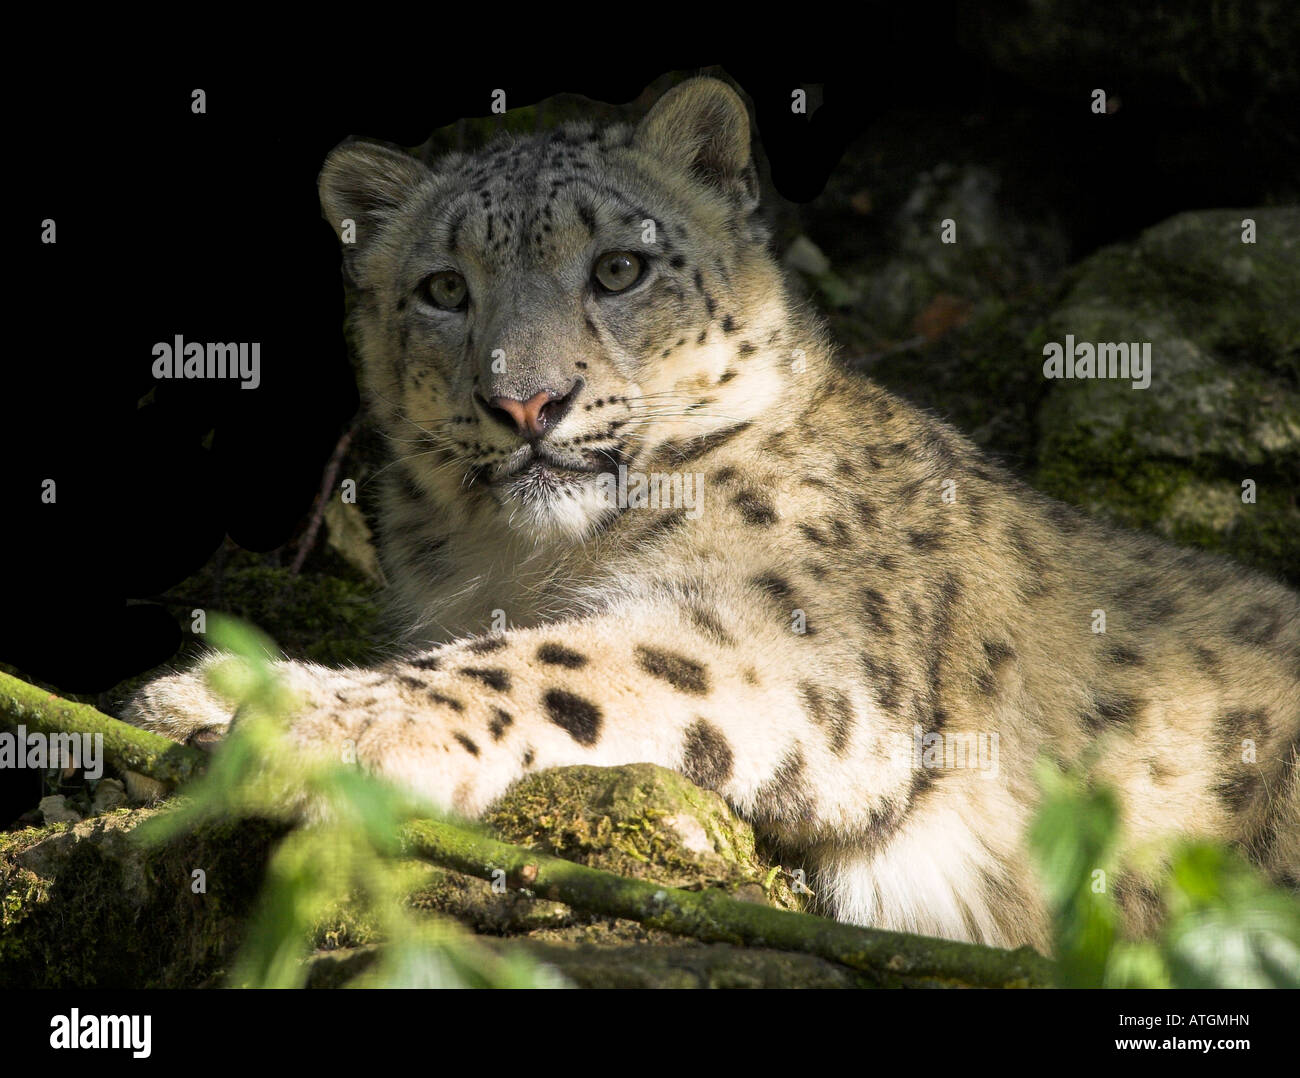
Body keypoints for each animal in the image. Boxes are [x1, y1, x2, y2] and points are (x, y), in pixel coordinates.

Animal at [124, 76, 1300, 951]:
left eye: (620, 267)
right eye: (444, 289)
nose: (526, 402)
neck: (515, 563)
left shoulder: (789, 637)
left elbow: (552, 660)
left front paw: (293, 715)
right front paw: (214, 695)